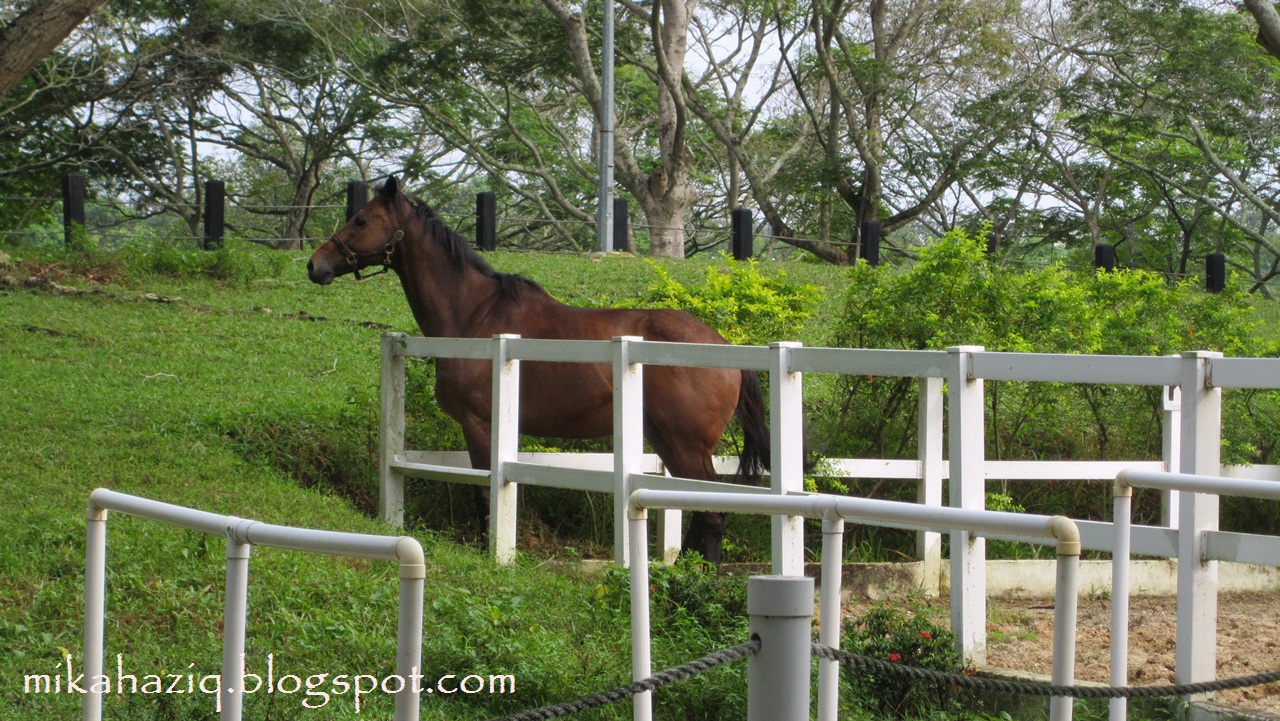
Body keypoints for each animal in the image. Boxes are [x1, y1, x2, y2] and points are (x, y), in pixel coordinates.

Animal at [307, 176, 769, 562]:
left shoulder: (480, 425)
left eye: (361, 220)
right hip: (667, 441)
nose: (316, 264)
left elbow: (486, 495)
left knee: (710, 513)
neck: (474, 314)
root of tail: (725, 348)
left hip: (686, 445)